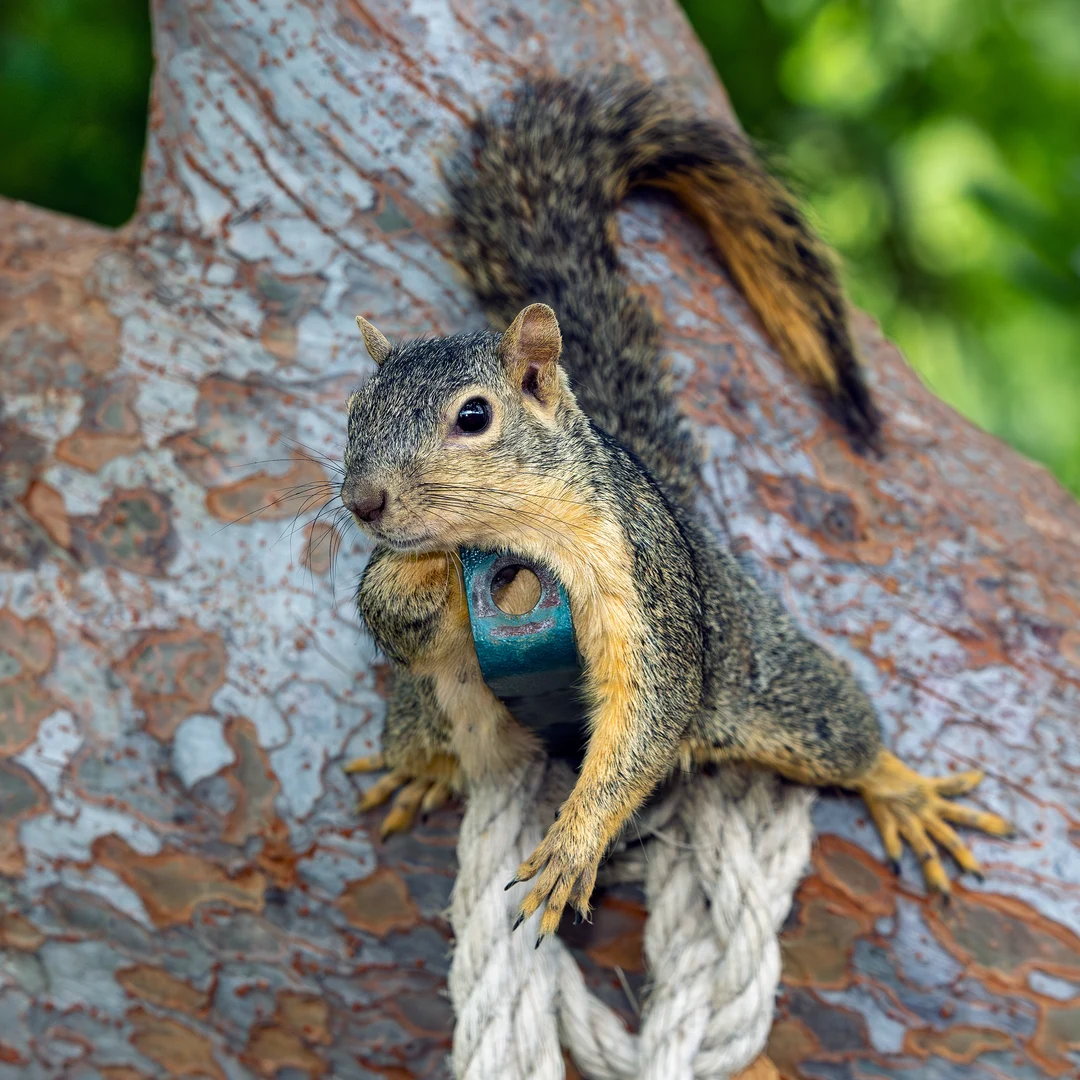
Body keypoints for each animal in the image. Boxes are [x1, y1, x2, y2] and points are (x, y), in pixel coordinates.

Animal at [340, 77, 1013, 942]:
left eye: (474, 416)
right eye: (355, 410)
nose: (363, 501)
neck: (510, 545)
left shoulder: (640, 580)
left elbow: (646, 712)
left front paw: (574, 844)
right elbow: (388, 612)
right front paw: (420, 570)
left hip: (764, 683)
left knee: (842, 732)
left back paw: (903, 789)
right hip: (431, 707)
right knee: (426, 726)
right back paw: (417, 773)